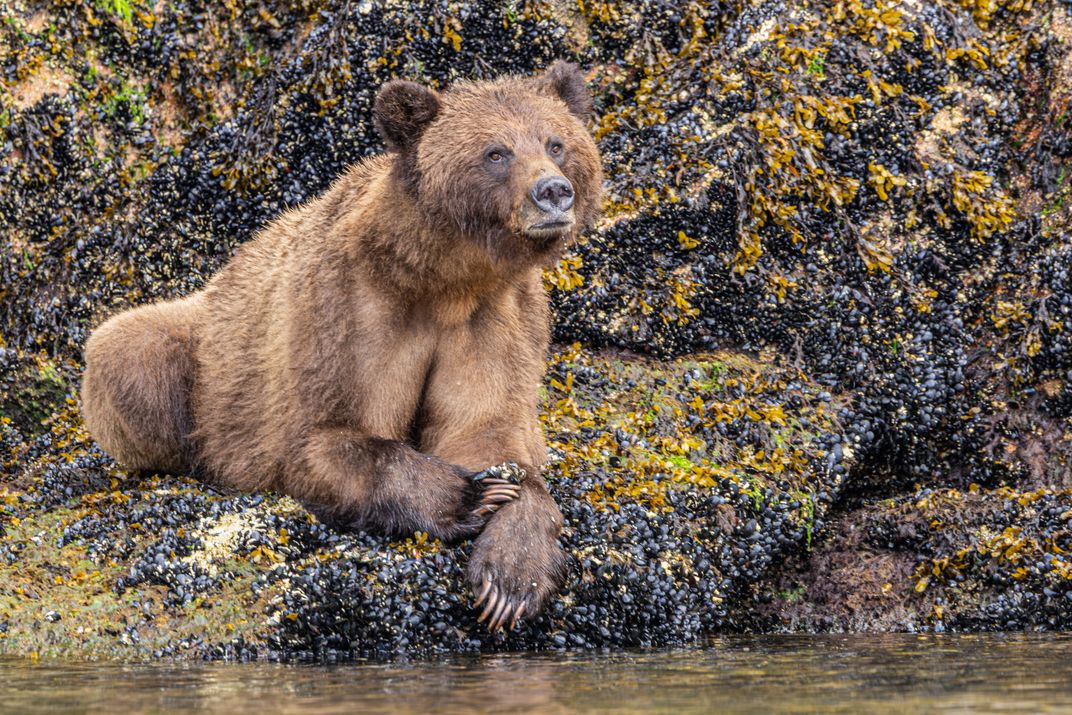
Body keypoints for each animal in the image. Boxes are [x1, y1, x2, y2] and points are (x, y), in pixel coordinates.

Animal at [79, 61, 603, 632]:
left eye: (556, 143)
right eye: (495, 152)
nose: (553, 192)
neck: (441, 281)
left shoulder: (494, 318)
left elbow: (489, 432)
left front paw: (511, 576)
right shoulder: (347, 311)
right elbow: (329, 437)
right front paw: (470, 496)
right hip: (197, 355)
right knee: (129, 352)